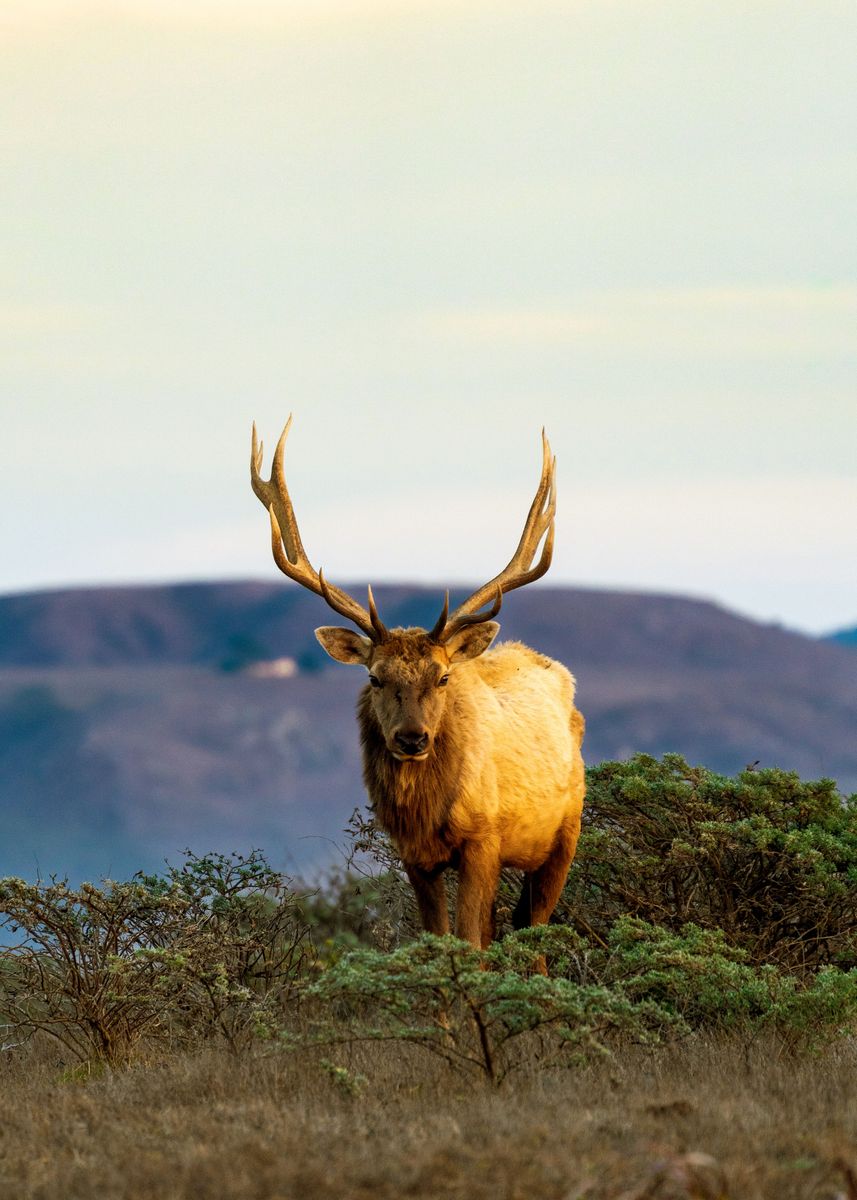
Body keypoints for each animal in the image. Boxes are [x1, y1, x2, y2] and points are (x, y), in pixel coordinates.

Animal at [250, 417, 585, 954]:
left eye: (443, 676)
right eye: (374, 677)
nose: (412, 738)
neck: (429, 814)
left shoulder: (484, 839)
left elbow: (471, 944)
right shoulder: (414, 856)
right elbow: (437, 939)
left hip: (565, 833)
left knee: (534, 930)